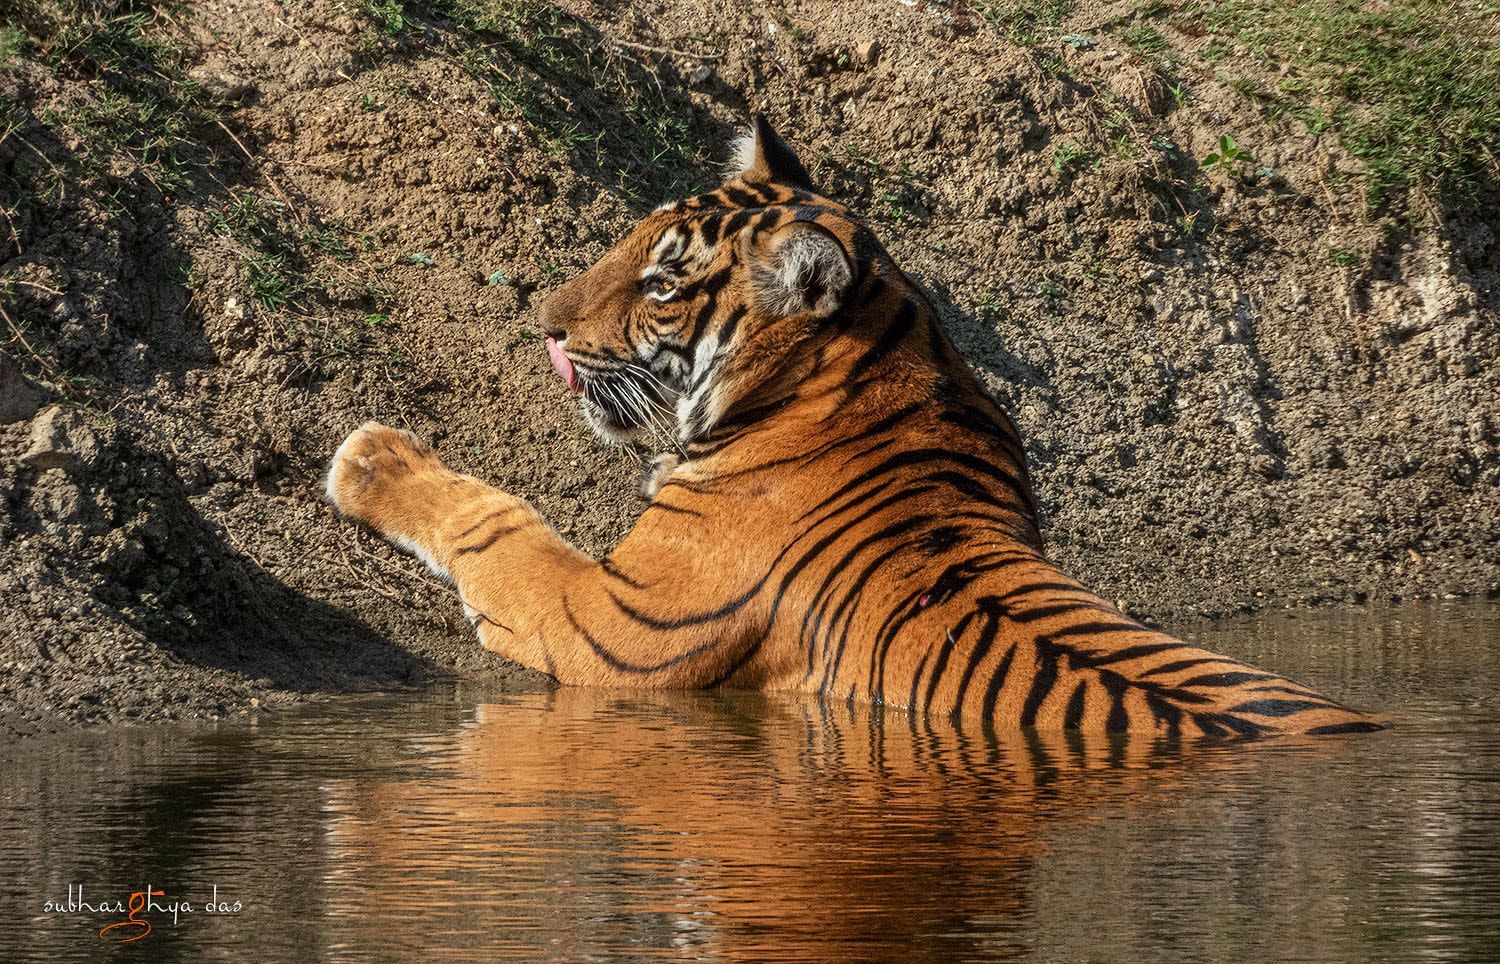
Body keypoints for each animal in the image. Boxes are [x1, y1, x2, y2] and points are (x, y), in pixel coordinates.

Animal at [326, 116, 1386, 739]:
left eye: (662, 282)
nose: (544, 321)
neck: (878, 367)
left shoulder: (604, 625)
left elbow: (496, 521)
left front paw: (372, 456)